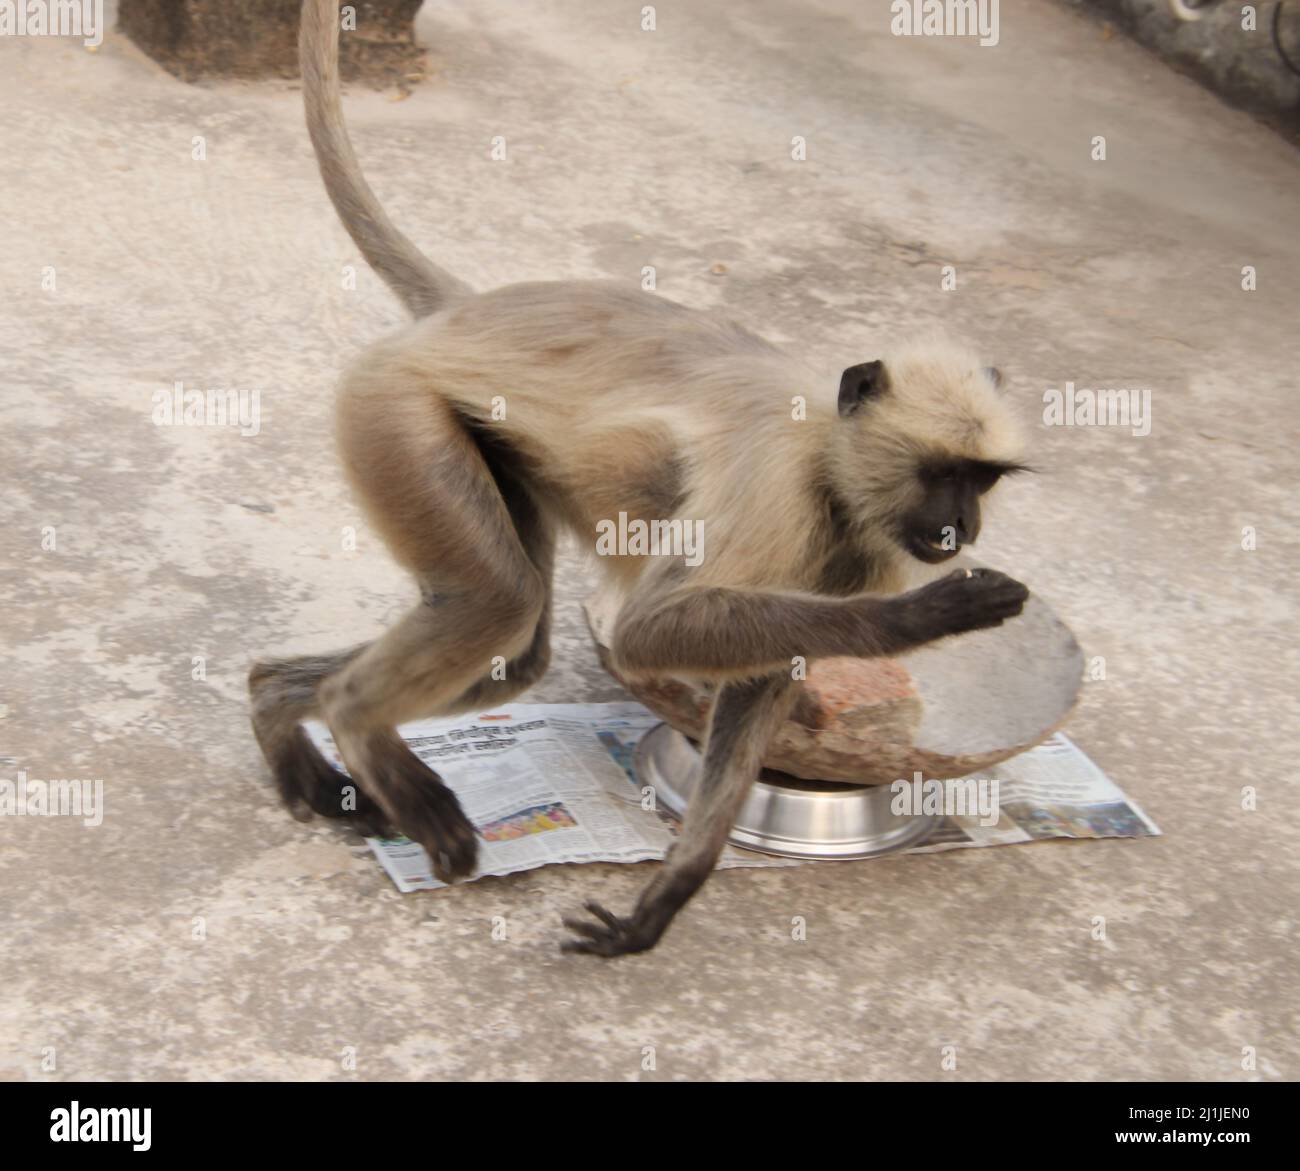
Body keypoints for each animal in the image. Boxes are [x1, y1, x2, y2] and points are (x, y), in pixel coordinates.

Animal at [249, 0, 1032, 957]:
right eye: (941, 473)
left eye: (982, 480)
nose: (964, 525)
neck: (829, 464)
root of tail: (462, 310)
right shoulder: (774, 484)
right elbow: (652, 630)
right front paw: (928, 615)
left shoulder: (858, 548)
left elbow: (758, 682)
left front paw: (661, 898)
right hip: (394, 410)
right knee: (500, 603)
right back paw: (351, 712)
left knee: (512, 654)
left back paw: (281, 700)